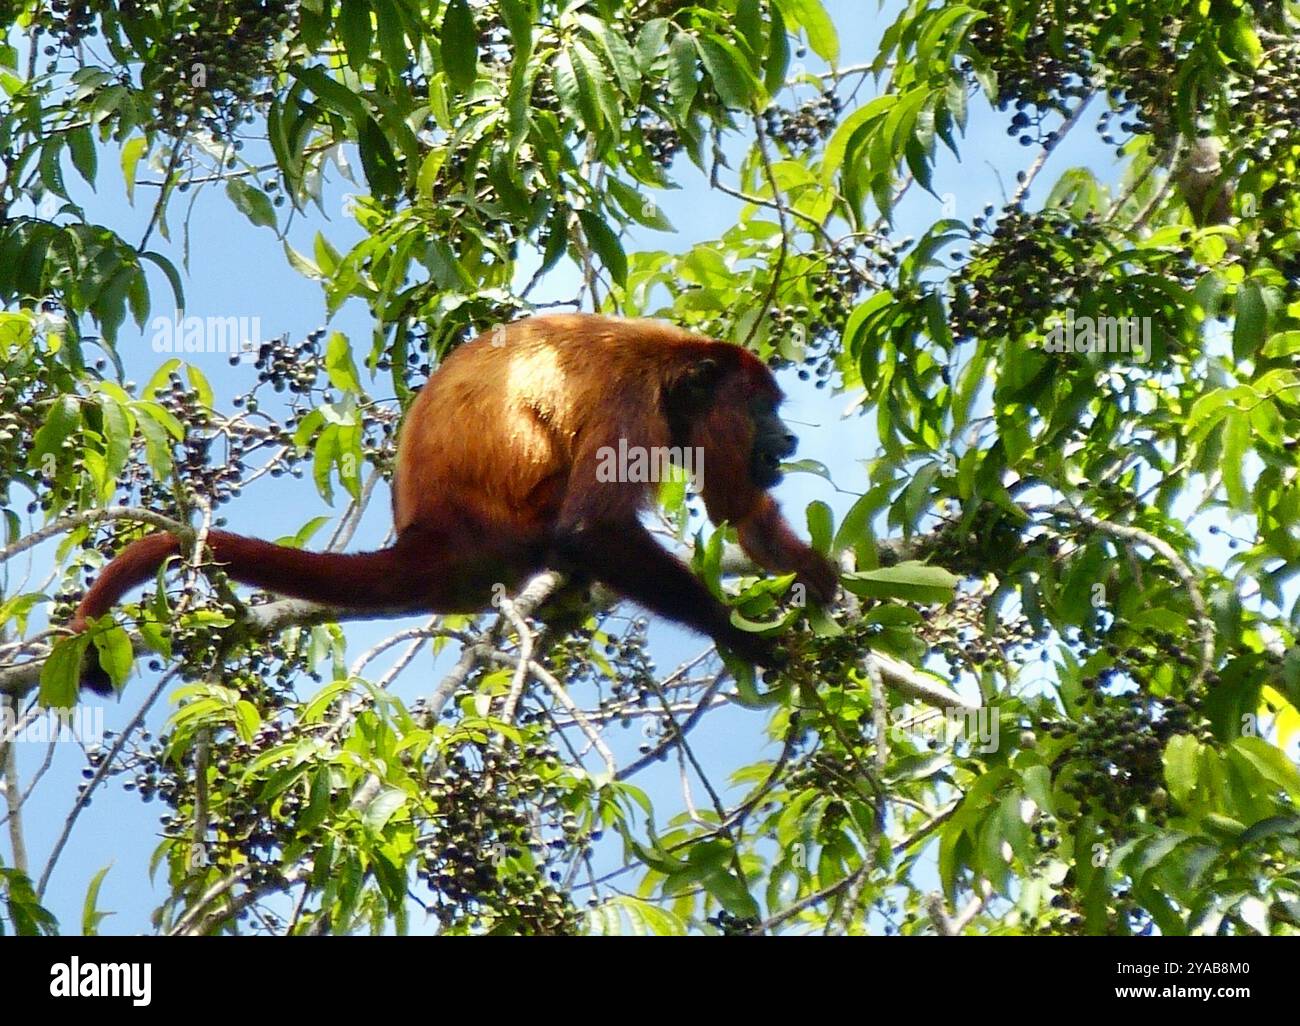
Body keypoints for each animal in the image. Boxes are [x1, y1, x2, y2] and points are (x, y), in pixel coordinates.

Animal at [70, 314, 839, 693]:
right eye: (764, 408)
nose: (790, 435)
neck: (675, 375)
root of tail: (428, 532)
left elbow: (741, 510)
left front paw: (814, 577)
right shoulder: (631, 407)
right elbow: (593, 529)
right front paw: (743, 634)